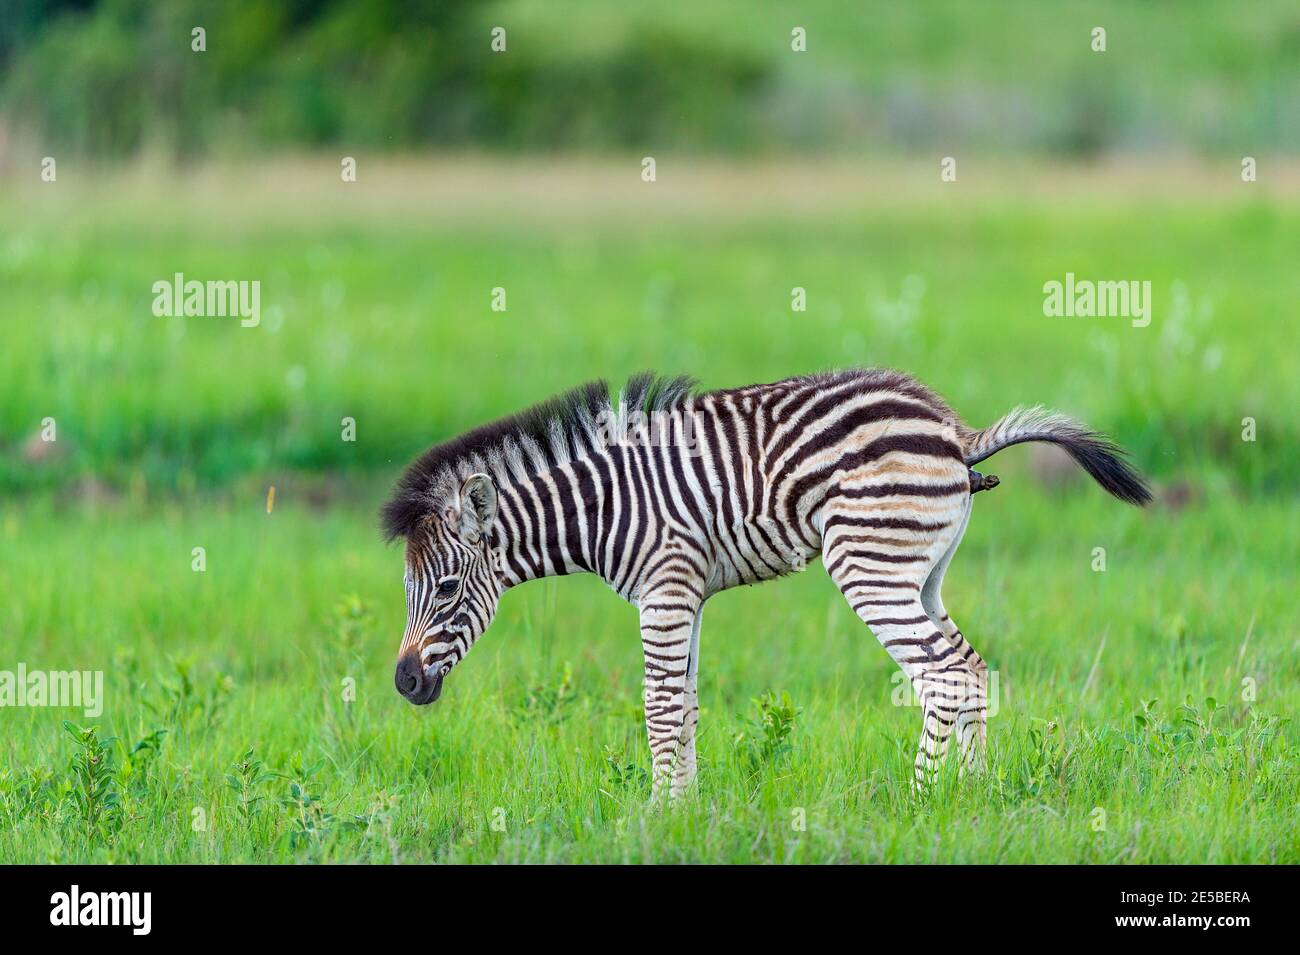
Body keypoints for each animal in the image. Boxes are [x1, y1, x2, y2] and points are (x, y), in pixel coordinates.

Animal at [383, 370, 1150, 797]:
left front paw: (656, 814)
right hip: (922, 574)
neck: (605, 506)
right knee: (971, 666)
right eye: (409, 589)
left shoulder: (664, 589)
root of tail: (952, 430)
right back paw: (974, 793)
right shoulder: (685, 594)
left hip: (867, 564)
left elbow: (660, 706)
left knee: (942, 674)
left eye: (445, 589)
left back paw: (921, 800)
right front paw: (685, 812)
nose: (403, 683)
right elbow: (686, 706)